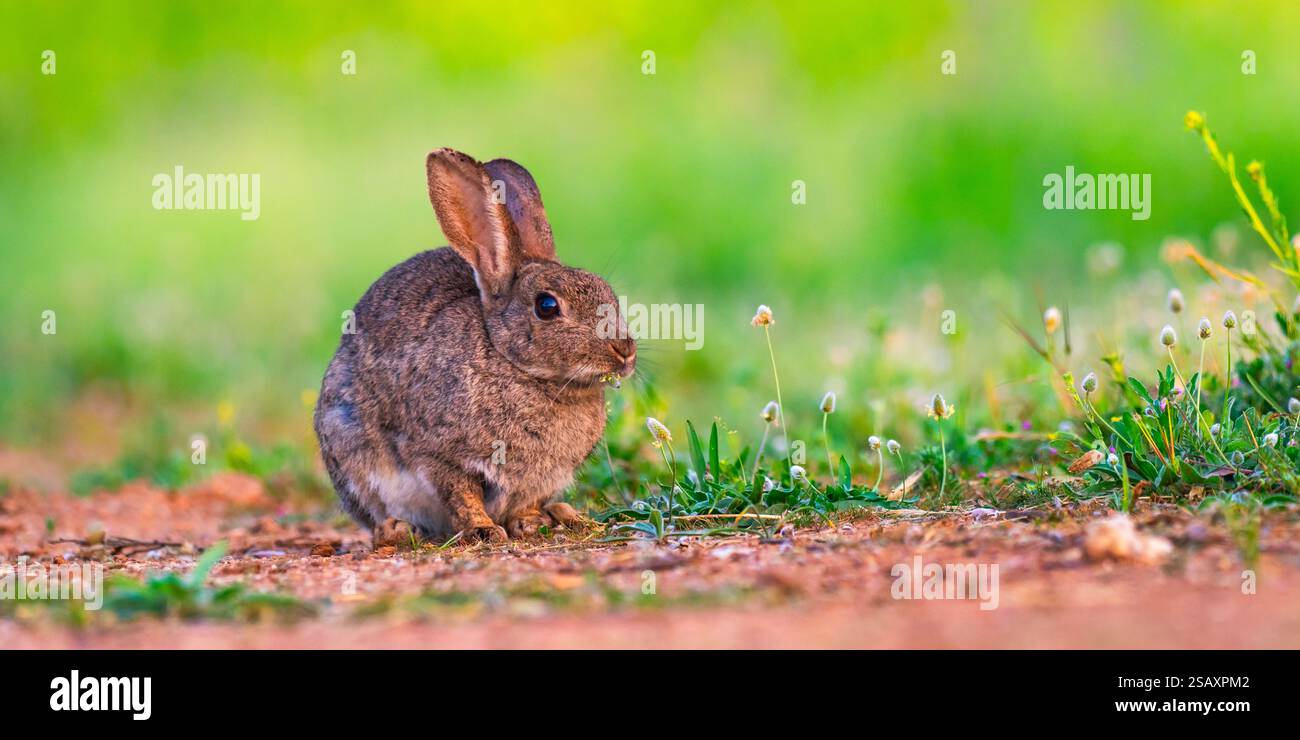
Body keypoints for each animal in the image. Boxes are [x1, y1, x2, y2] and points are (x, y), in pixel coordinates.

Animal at [314, 148, 636, 545]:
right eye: (547, 306)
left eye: (607, 291)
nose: (625, 351)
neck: (515, 364)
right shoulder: (438, 456)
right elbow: (461, 494)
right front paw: (483, 530)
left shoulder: (541, 478)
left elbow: (525, 502)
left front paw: (529, 523)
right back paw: (396, 530)